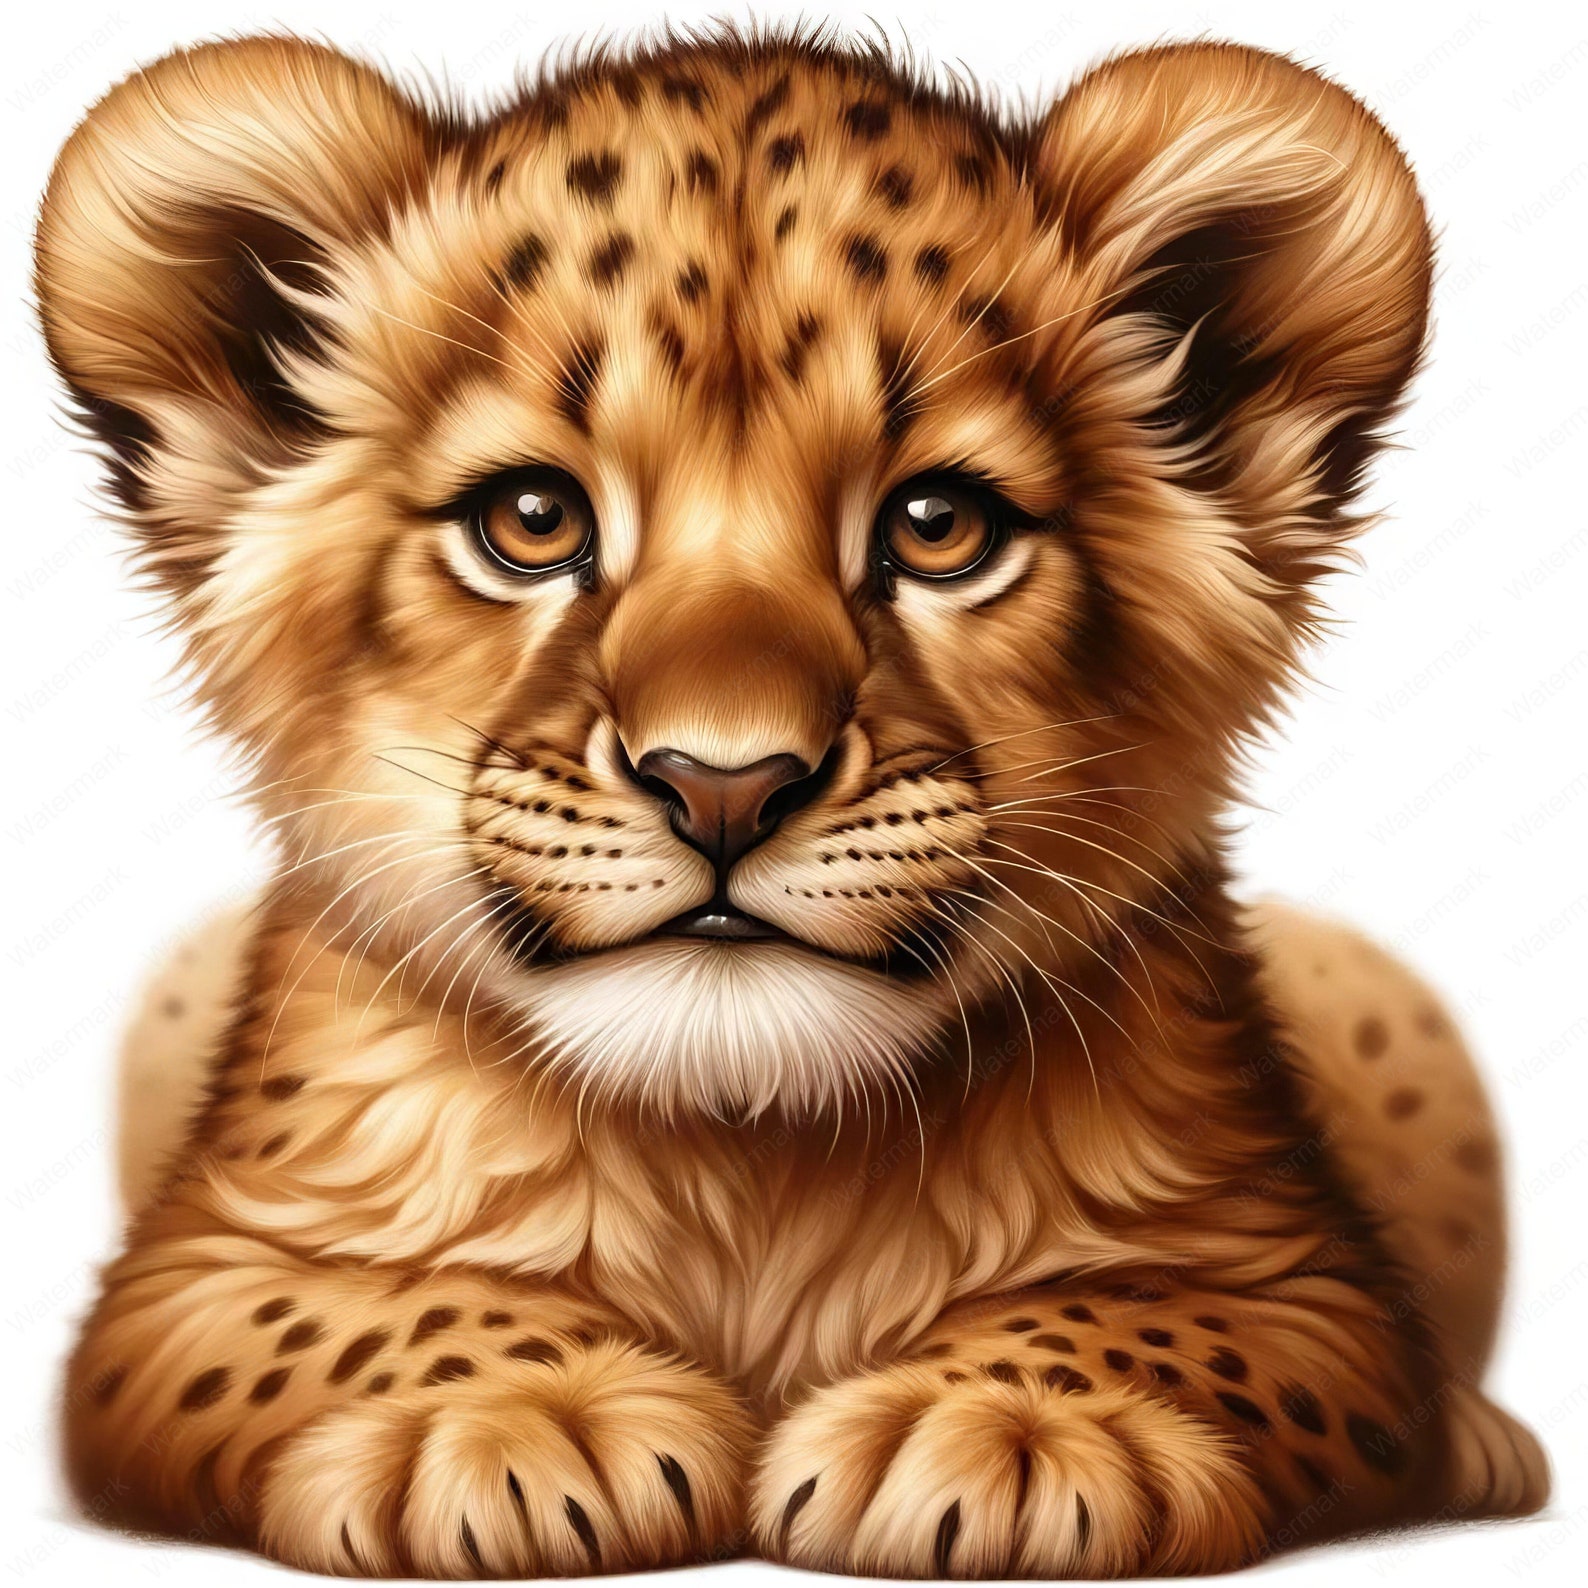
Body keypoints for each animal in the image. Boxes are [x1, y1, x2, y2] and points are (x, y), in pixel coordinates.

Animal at [35, 27, 1548, 1577]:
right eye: (532, 522)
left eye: (939, 529)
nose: (723, 783)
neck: (746, 1161)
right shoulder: (190, 1272)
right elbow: (334, 1319)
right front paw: (516, 1422)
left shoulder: (1306, 1275)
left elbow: (1175, 1327)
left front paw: (1005, 1434)